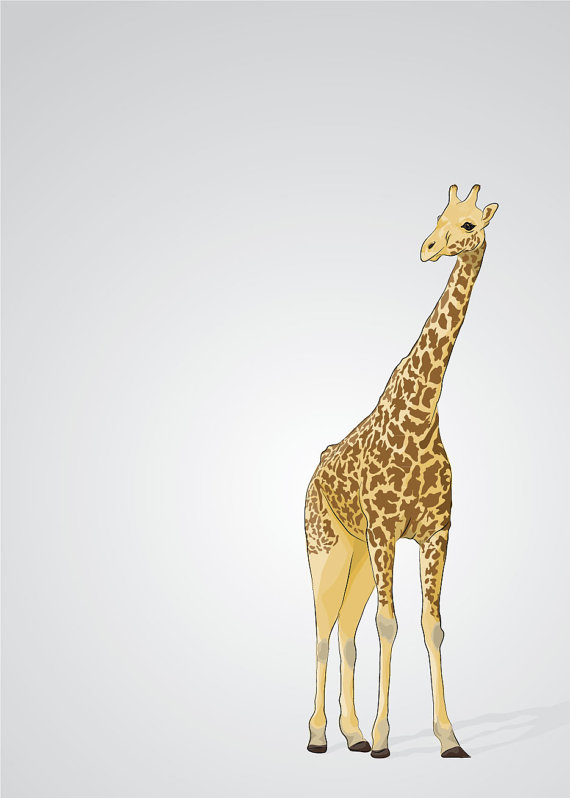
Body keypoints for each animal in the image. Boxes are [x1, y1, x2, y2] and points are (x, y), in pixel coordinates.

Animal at [305, 184, 498, 758]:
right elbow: (388, 626)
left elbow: (431, 626)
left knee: (345, 629)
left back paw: (350, 733)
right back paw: (320, 735)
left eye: (469, 225)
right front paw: (384, 737)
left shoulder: (435, 532)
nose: (428, 248)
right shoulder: (387, 531)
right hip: (327, 549)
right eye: (439, 216)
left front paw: (449, 737)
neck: (421, 412)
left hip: (357, 554)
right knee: (322, 627)